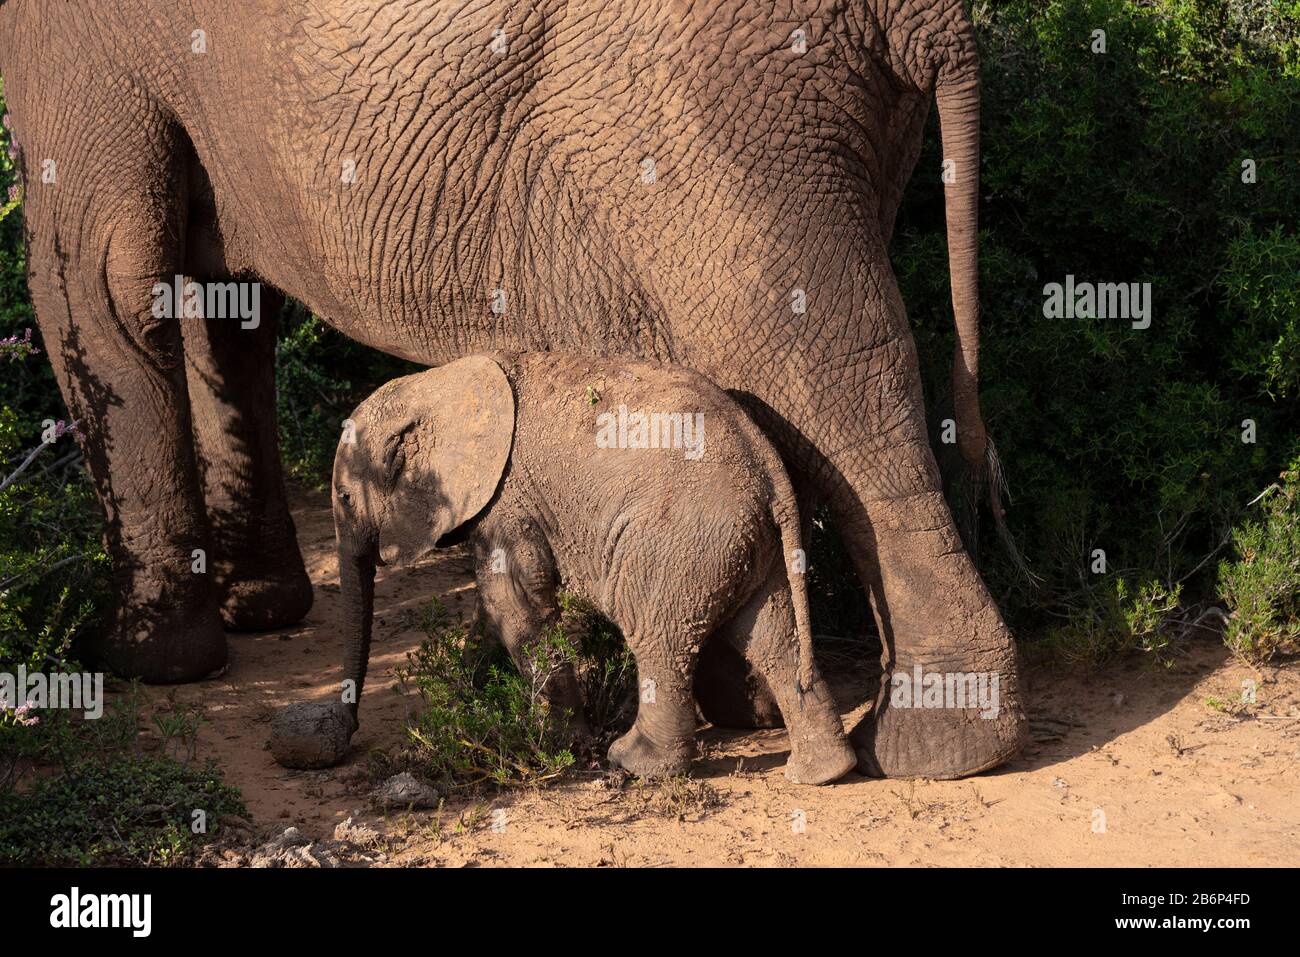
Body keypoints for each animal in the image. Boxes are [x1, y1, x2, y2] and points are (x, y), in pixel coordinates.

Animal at [326, 352, 858, 784]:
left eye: (345, 497)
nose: (343, 735)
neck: (436, 383)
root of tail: (771, 473)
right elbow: (494, 608)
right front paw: (464, 700)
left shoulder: (509, 498)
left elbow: (515, 602)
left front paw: (557, 745)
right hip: (750, 545)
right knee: (772, 635)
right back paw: (823, 773)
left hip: (678, 542)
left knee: (656, 636)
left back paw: (633, 763)